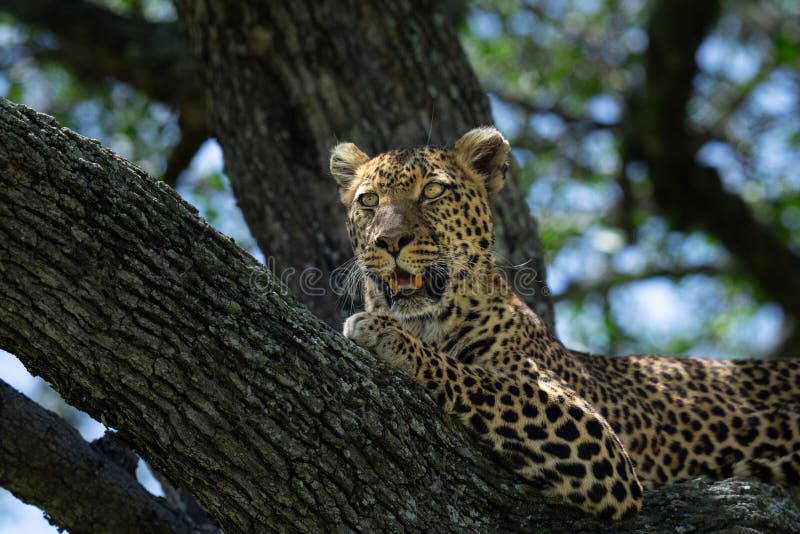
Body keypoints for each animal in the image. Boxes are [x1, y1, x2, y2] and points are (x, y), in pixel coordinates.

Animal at [329, 126, 800, 520]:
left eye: (432, 191)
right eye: (368, 201)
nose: (389, 241)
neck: (430, 323)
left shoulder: (600, 444)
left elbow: (483, 379)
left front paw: (386, 335)